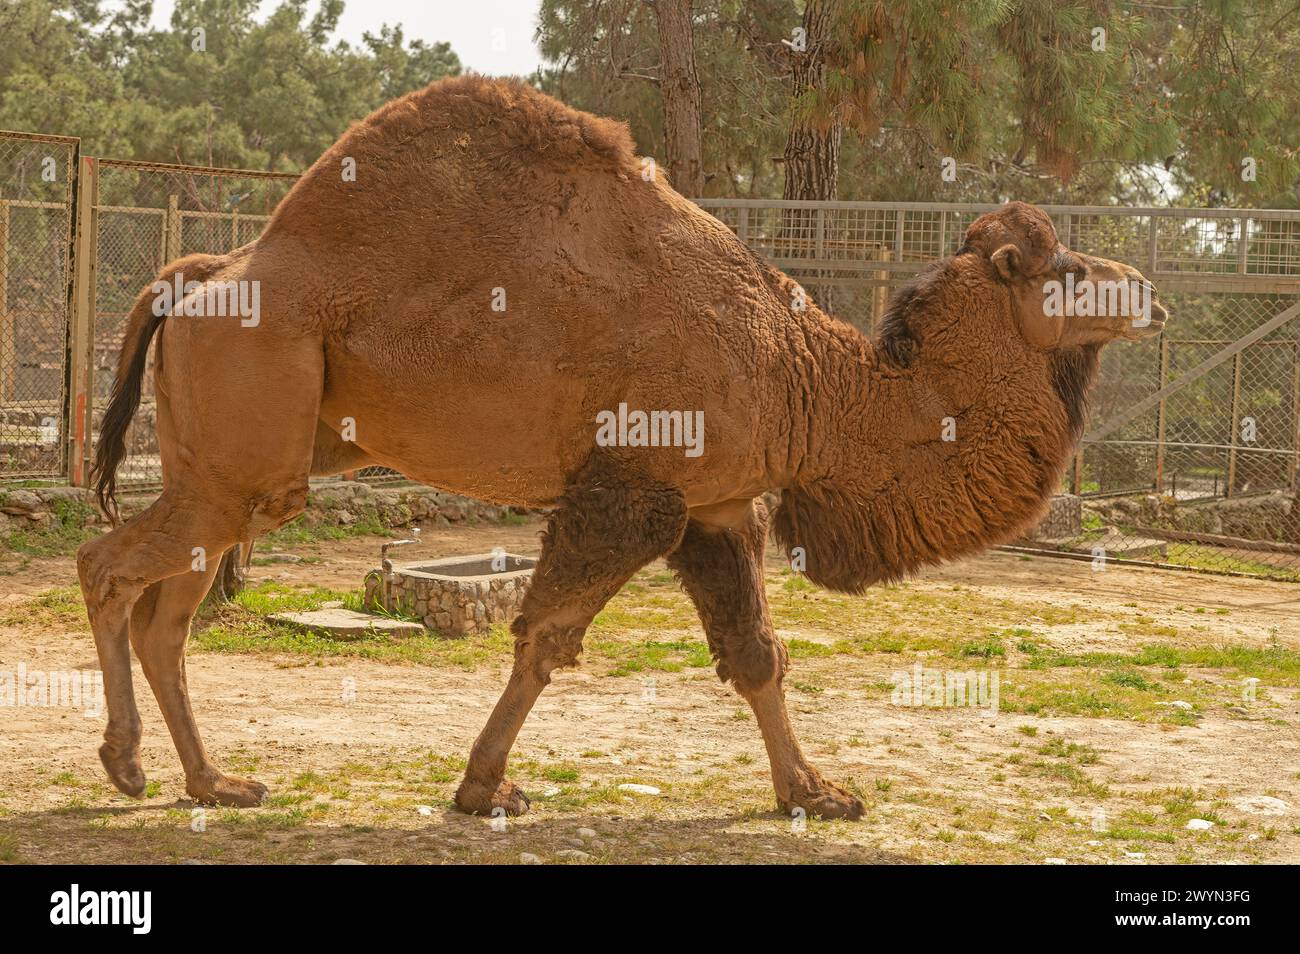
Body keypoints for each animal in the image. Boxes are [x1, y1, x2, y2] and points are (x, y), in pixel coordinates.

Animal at [79, 75, 1166, 820]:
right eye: (1068, 273)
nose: (1150, 295)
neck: (803, 377)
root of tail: (202, 271)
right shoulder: (635, 489)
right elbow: (547, 638)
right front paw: (485, 790)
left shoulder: (719, 504)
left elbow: (756, 653)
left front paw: (815, 792)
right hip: (244, 454)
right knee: (109, 567)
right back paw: (131, 766)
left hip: (237, 469)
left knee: (169, 611)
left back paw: (210, 780)